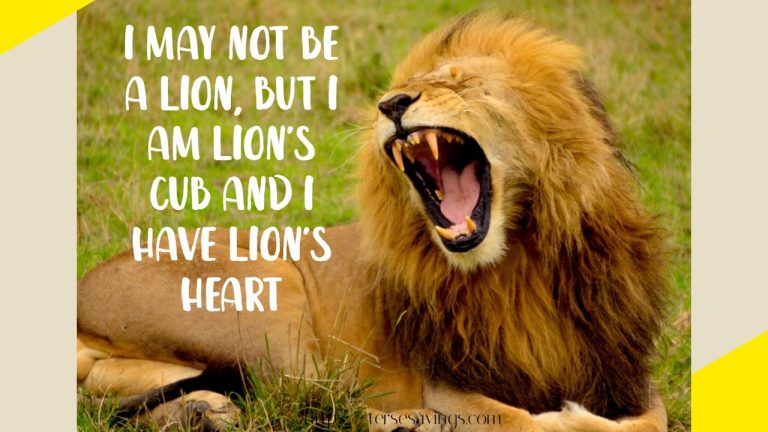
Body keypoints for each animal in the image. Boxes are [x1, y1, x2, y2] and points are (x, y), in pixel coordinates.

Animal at [77, 13, 669, 432]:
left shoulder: (620, 367)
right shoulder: (446, 379)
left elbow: (651, 421)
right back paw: (410, 425)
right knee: (311, 400)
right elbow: (521, 422)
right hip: (269, 292)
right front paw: (561, 417)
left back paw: (203, 413)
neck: (522, 258)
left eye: (462, 83)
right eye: (403, 86)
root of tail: (83, 291)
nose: (392, 103)